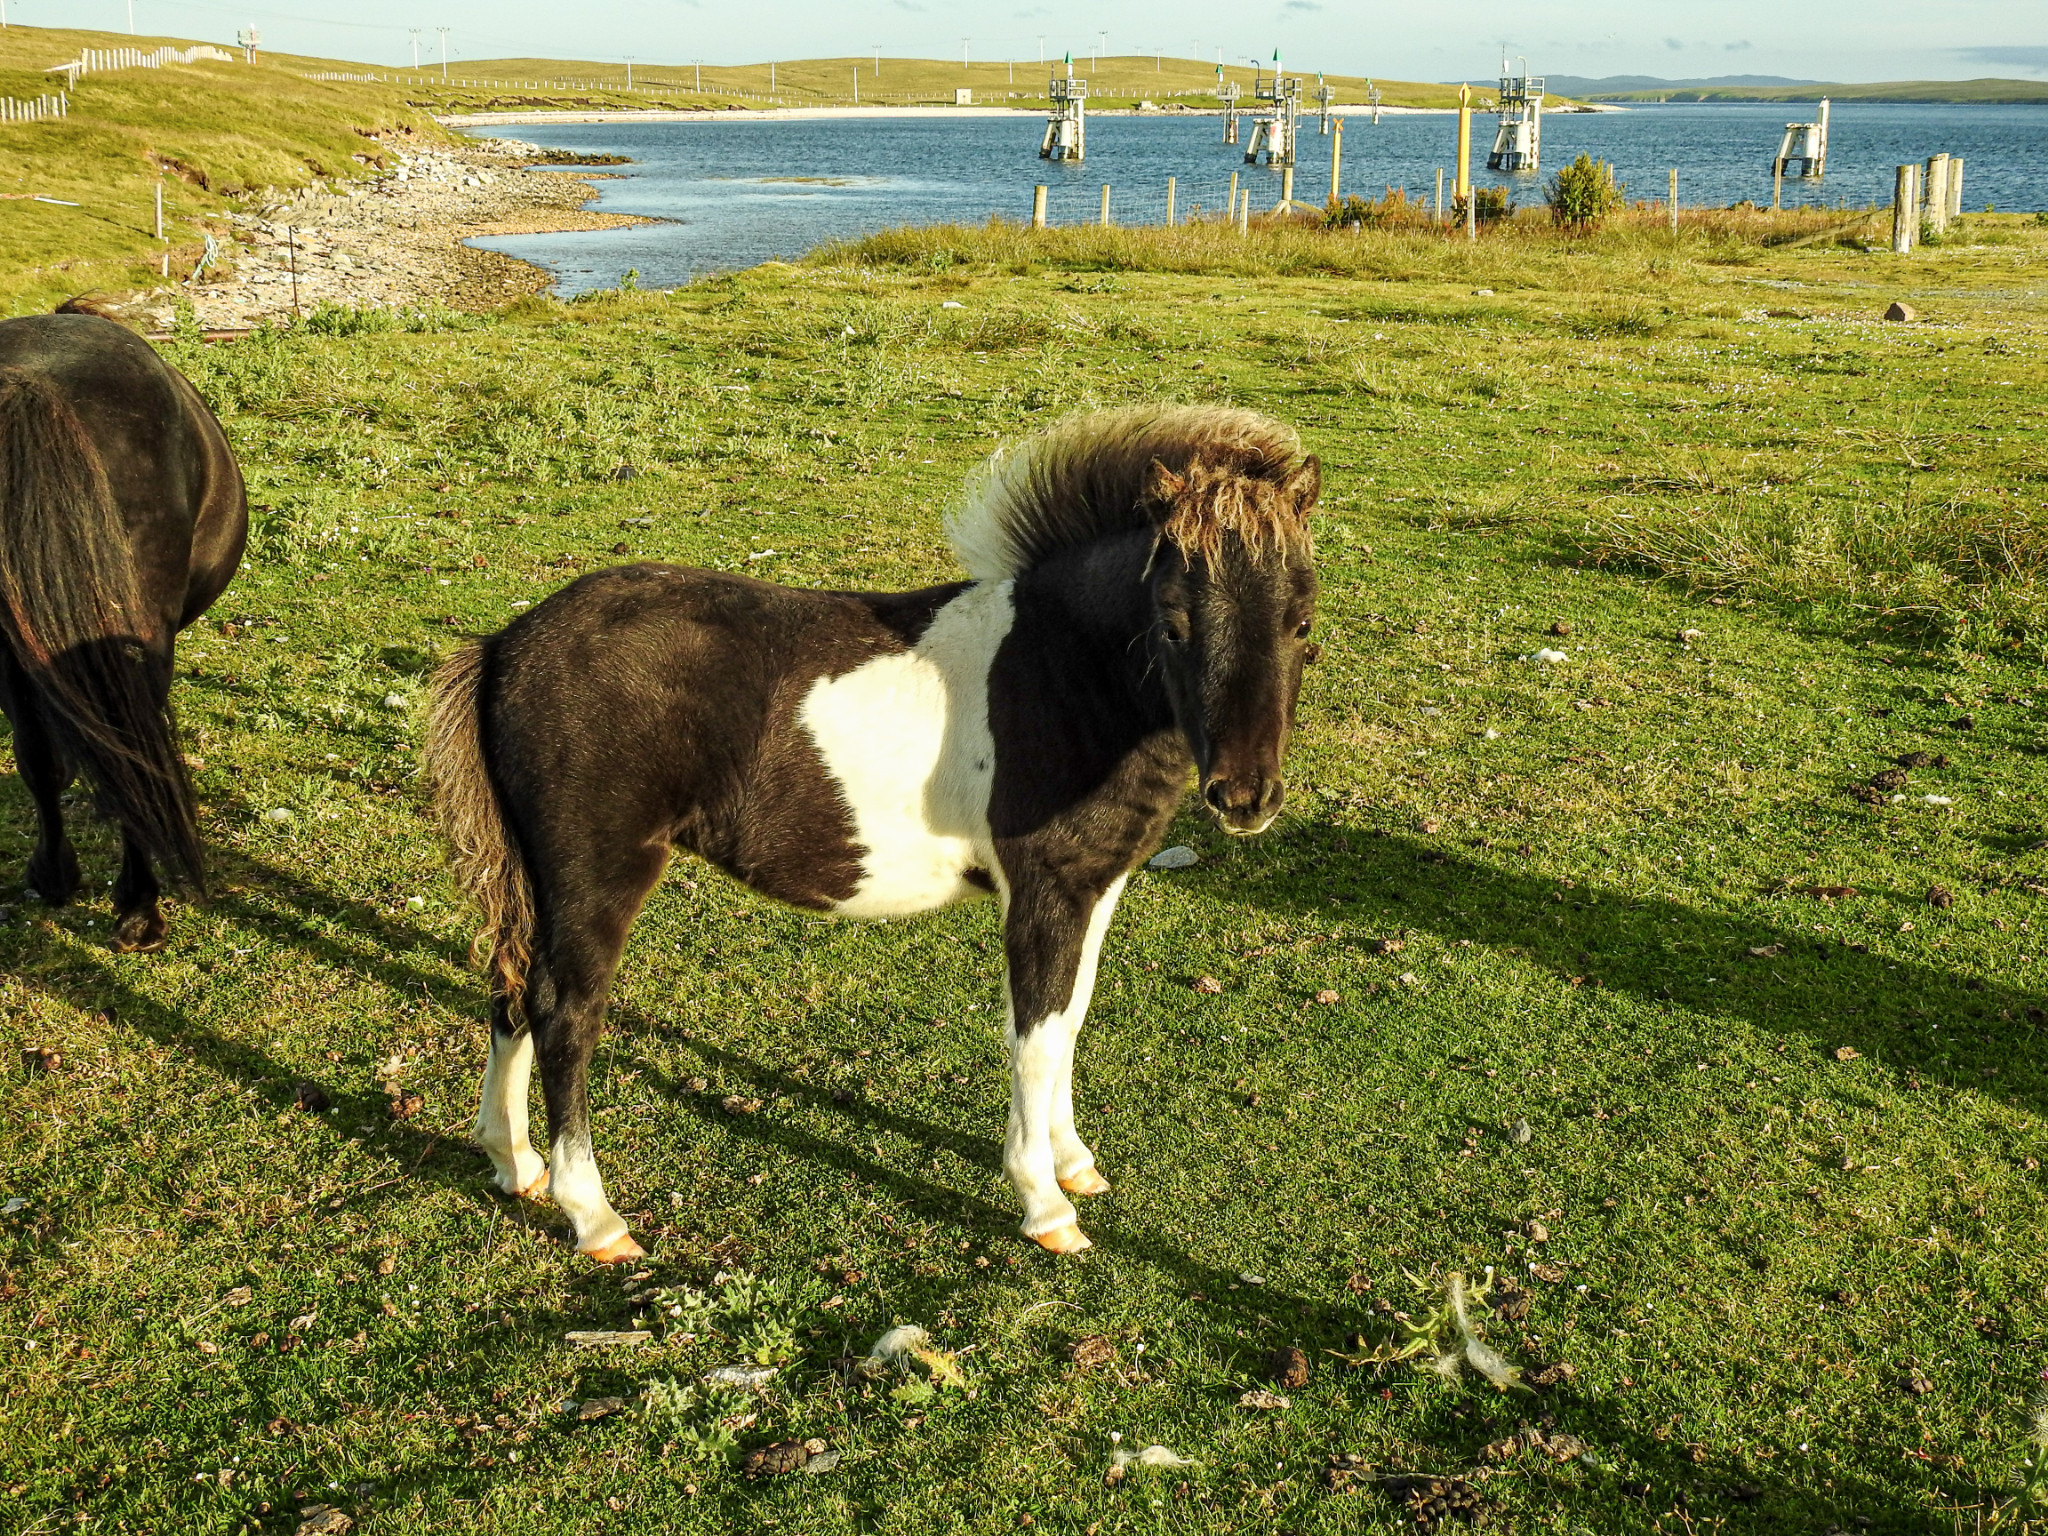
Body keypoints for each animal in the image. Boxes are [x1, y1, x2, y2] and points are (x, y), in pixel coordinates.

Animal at [427, 404, 1320, 1262]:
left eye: (1303, 623)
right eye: (1171, 624)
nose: (1246, 797)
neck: (1062, 668)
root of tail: (506, 646)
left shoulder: (1095, 883)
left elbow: (1068, 1019)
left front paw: (1074, 1162)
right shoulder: (1042, 891)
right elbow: (1033, 1037)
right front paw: (1044, 1204)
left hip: (536, 879)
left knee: (512, 988)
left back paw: (513, 1162)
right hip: (596, 873)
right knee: (565, 1014)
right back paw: (595, 1217)